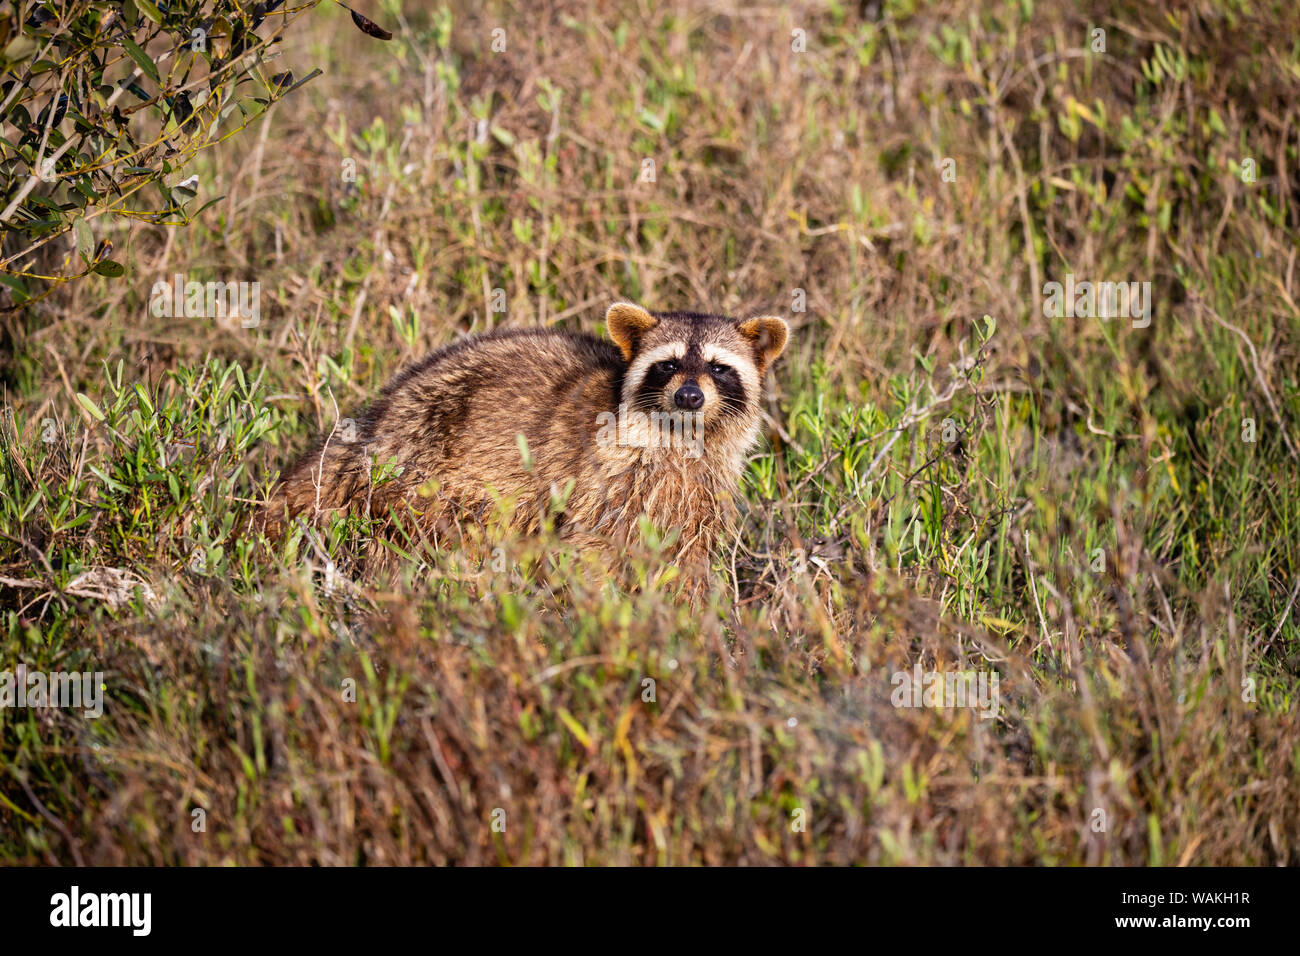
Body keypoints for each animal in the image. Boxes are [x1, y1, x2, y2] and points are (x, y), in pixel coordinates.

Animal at [267, 302, 788, 591]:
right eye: (669, 364)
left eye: (719, 368)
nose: (689, 397)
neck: (680, 436)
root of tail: (378, 419)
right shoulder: (601, 474)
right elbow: (587, 547)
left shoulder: (699, 488)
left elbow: (685, 556)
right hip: (424, 464)